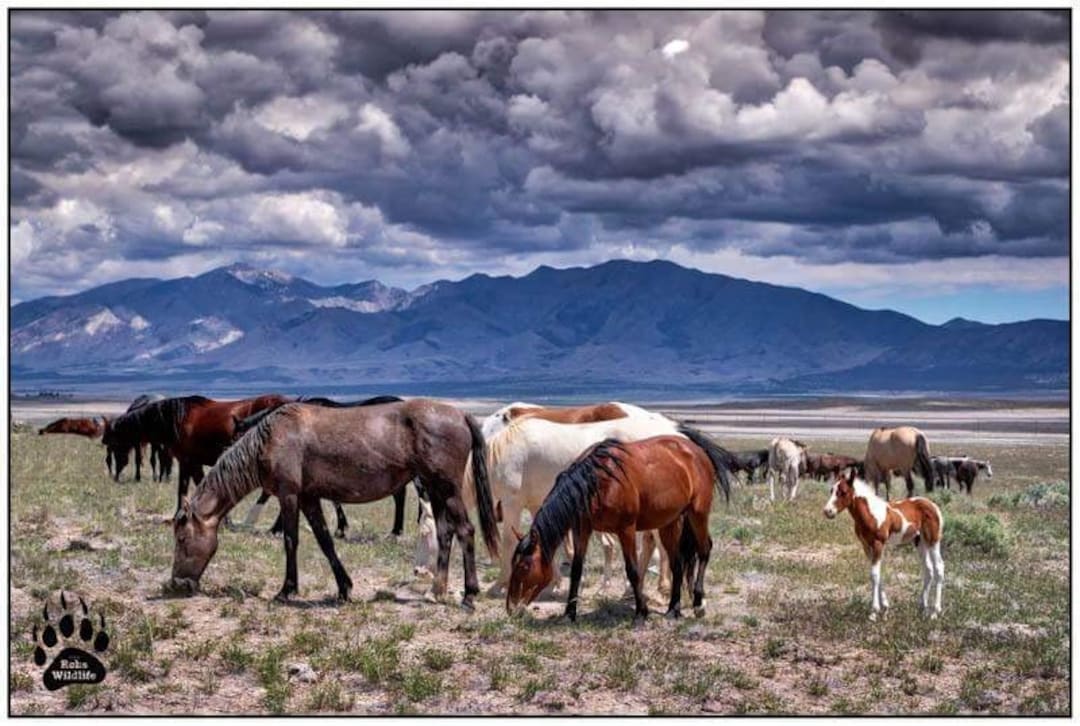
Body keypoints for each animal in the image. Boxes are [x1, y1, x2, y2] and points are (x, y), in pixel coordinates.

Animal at [104, 394, 290, 511]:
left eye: (114, 445)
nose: (115, 476)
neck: (177, 419)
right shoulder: (192, 463)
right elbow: (194, 487)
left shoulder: (187, 461)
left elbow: (186, 489)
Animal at [468, 413, 734, 593]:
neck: (503, 451)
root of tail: (676, 432)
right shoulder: (537, 504)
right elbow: (550, 543)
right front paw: (553, 583)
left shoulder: (513, 502)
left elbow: (508, 542)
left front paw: (498, 584)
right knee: (652, 543)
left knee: (659, 544)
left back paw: (659, 590)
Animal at [506, 436, 717, 623]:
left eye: (524, 566)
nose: (511, 608)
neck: (597, 482)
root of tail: (697, 451)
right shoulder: (582, 529)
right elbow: (576, 570)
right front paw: (569, 613)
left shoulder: (626, 530)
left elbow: (632, 570)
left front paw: (641, 613)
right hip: (669, 523)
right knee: (677, 564)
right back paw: (673, 610)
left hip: (697, 513)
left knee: (704, 549)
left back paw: (698, 604)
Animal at [823, 468, 945, 621]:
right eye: (831, 490)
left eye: (843, 492)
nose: (828, 511)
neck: (871, 514)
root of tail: (934, 506)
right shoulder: (866, 546)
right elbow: (877, 574)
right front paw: (885, 608)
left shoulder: (878, 544)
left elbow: (874, 574)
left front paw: (874, 612)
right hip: (920, 542)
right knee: (928, 570)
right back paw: (922, 608)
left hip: (933, 541)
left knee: (939, 568)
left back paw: (935, 611)